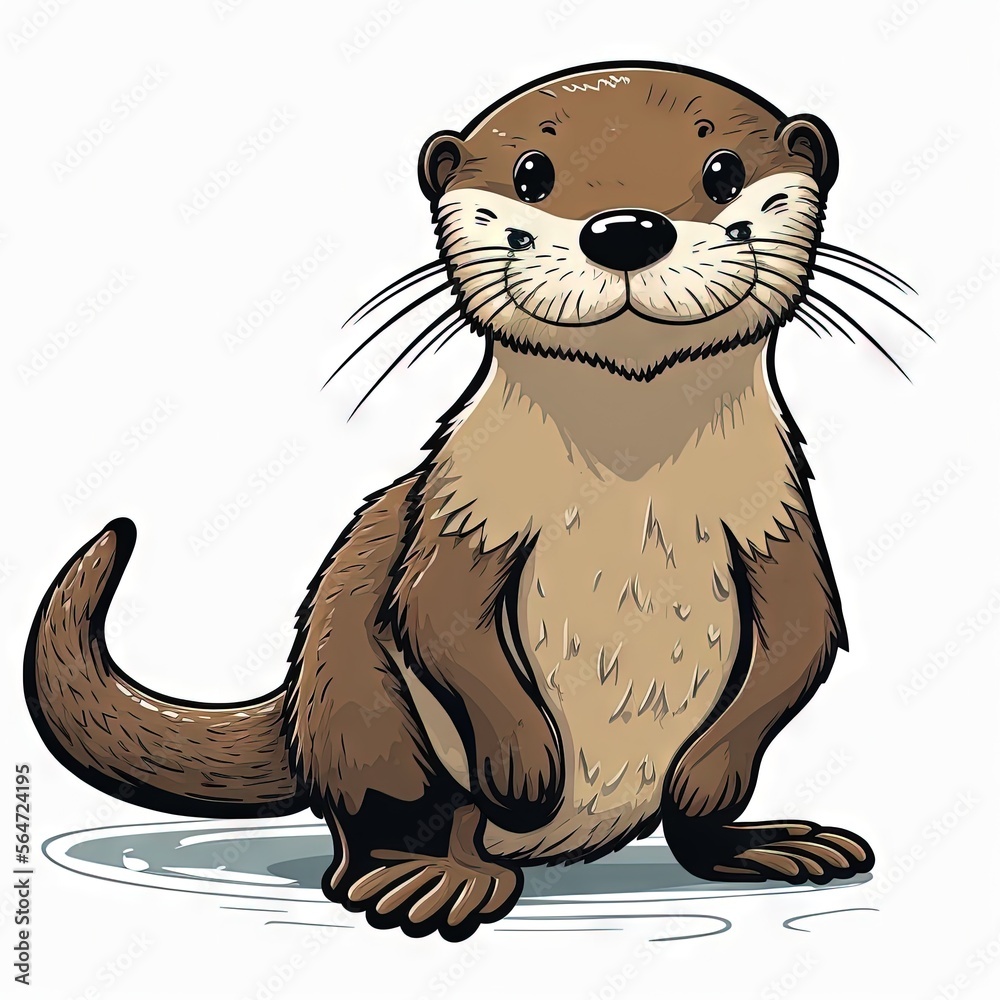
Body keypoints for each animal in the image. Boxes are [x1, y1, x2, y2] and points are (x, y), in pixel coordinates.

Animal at [25, 62, 885, 941]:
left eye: (723, 172)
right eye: (532, 172)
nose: (626, 230)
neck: (630, 480)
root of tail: (296, 703)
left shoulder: (776, 518)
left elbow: (800, 639)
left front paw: (710, 779)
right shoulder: (464, 510)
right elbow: (437, 618)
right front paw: (525, 769)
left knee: (689, 830)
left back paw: (775, 844)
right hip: (358, 701)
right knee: (397, 810)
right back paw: (429, 878)